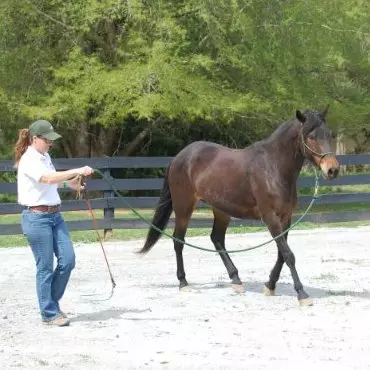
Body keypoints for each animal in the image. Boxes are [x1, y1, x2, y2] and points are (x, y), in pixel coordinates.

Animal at [138, 105, 338, 304]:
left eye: (329, 134)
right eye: (311, 136)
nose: (332, 170)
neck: (272, 167)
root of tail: (178, 157)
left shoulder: (286, 218)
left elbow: (282, 254)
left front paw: (270, 285)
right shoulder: (270, 218)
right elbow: (288, 254)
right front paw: (302, 294)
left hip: (221, 210)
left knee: (217, 239)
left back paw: (236, 279)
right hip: (184, 207)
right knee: (178, 241)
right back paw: (183, 282)